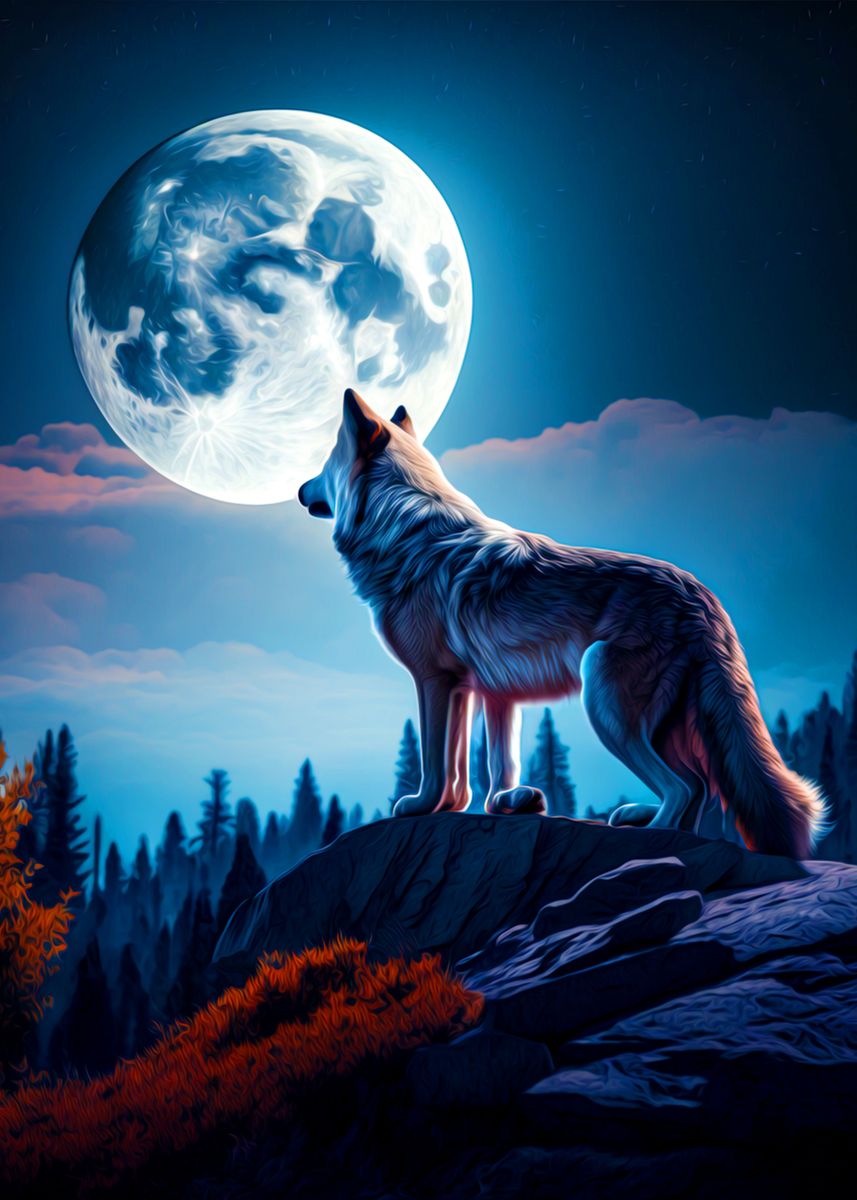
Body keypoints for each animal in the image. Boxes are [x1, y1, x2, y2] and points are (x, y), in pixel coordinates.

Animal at [299, 389, 826, 858]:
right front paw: (496, 803)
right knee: (697, 789)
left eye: (322, 464)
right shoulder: (483, 691)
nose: (300, 489)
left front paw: (422, 805)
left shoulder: (434, 680)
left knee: (681, 789)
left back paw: (650, 832)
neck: (401, 529)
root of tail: (704, 597)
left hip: (606, 703)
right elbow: (488, 766)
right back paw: (652, 825)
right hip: (660, 724)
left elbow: (436, 761)